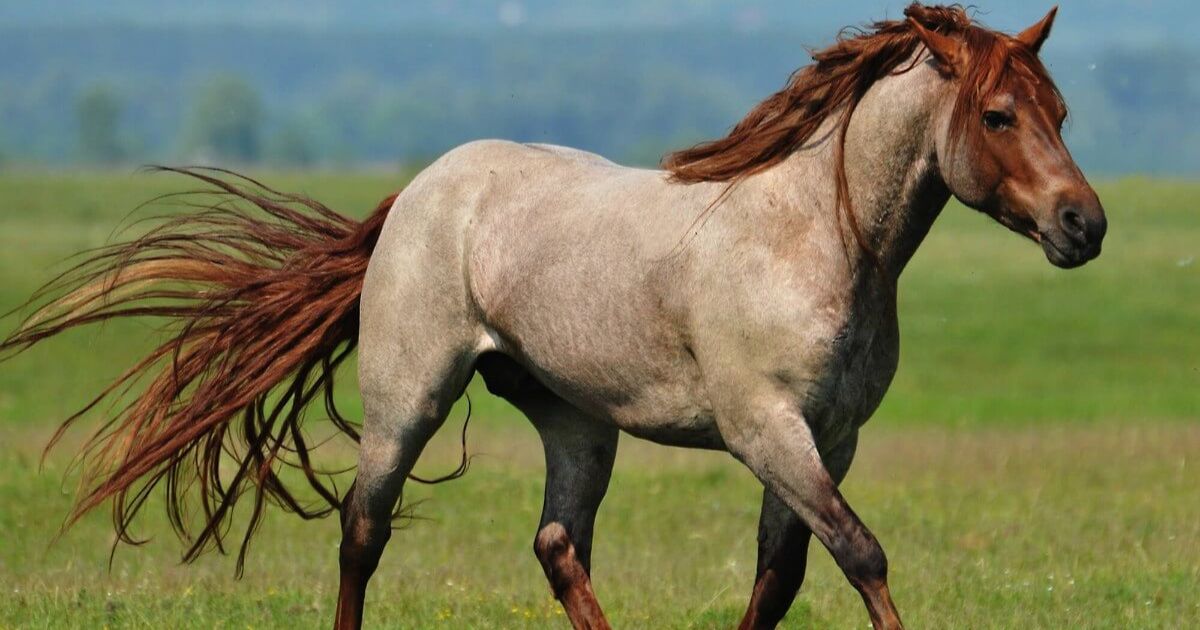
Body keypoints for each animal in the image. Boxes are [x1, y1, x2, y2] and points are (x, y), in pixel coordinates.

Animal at [1, 4, 1106, 629]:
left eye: (1061, 112)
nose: (1084, 225)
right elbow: (858, 554)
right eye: (999, 114)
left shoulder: (828, 438)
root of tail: (420, 190)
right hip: (410, 399)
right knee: (364, 530)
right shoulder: (766, 430)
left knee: (558, 544)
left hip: (576, 419)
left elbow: (782, 573)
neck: (812, 238)